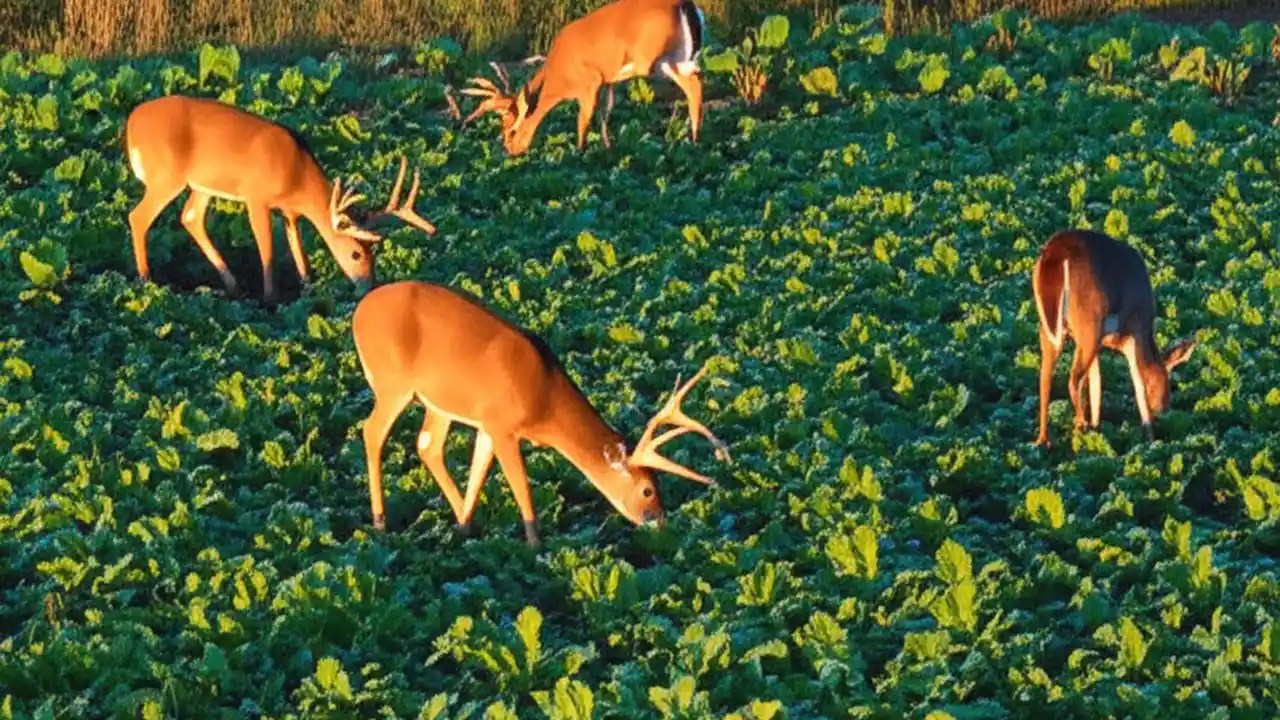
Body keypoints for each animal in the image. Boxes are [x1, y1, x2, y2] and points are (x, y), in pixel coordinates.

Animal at [124, 94, 438, 304]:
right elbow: (267, 251)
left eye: (373, 254)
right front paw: (270, 300)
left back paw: (233, 287)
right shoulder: (256, 197)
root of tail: (131, 124)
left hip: (202, 184)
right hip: (167, 176)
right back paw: (145, 279)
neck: (297, 172)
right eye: (356, 254)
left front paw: (308, 288)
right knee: (138, 216)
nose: (367, 287)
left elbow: (299, 252)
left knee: (190, 217)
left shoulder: (290, 212)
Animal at [351, 280, 731, 547]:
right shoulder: (502, 425)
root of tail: (358, 312)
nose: (660, 520)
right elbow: (522, 489)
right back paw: (380, 521)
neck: (545, 396)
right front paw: (536, 547)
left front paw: (464, 528)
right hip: (392, 383)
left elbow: (477, 475)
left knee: (428, 445)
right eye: (648, 491)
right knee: (371, 431)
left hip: (437, 400)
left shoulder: (486, 425)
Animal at [461, 0, 706, 156]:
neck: (558, 74)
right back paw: (694, 140)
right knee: (694, 82)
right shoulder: (607, 83)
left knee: (693, 78)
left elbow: (583, 121)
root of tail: (685, 5)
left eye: (511, 131)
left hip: (653, 58)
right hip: (674, 57)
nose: (511, 151)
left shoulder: (591, 81)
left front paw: (581, 152)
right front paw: (608, 148)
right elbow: (605, 115)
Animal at [1031, 229, 1197, 447]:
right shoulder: (1134, 331)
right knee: (1073, 380)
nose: (1163, 409)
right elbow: (1138, 382)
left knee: (1046, 379)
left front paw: (1097, 426)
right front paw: (1150, 439)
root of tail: (1055, 254)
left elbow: (1096, 381)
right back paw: (1080, 426)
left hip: (1051, 330)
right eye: (1169, 381)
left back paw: (1044, 440)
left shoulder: (1098, 343)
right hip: (1088, 325)